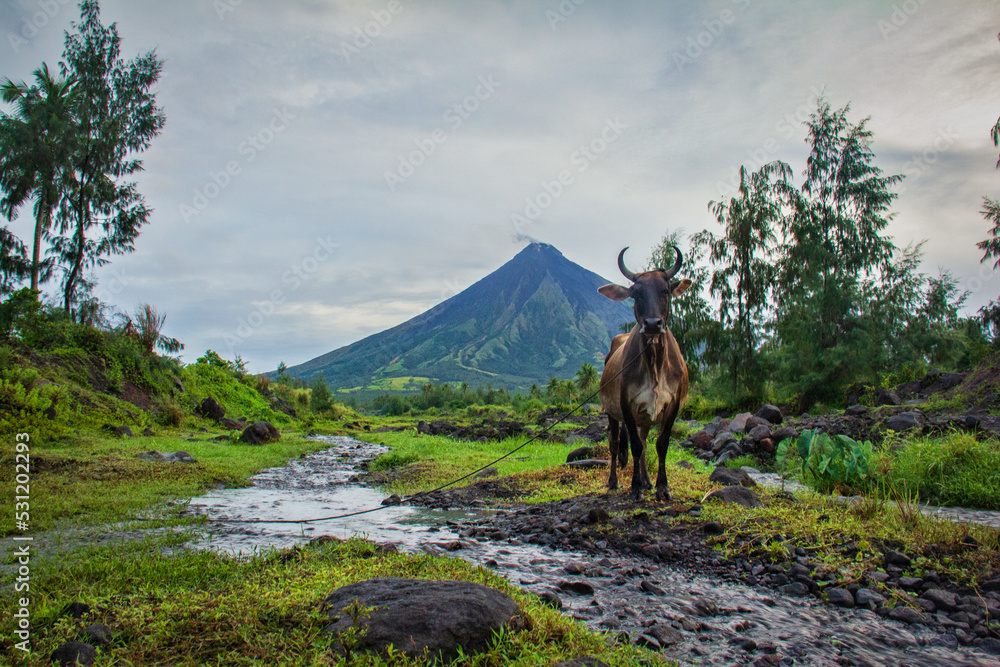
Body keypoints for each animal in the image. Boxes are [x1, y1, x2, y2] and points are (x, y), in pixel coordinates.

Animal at [598, 246, 691, 501]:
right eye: (636, 294)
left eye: (665, 291)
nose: (651, 324)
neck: (654, 362)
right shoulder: (626, 405)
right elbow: (635, 447)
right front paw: (635, 487)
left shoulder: (673, 404)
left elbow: (660, 444)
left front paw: (661, 487)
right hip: (612, 413)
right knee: (616, 443)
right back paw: (614, 482)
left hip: (645, 418)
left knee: (644, 441)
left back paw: (648, 481)